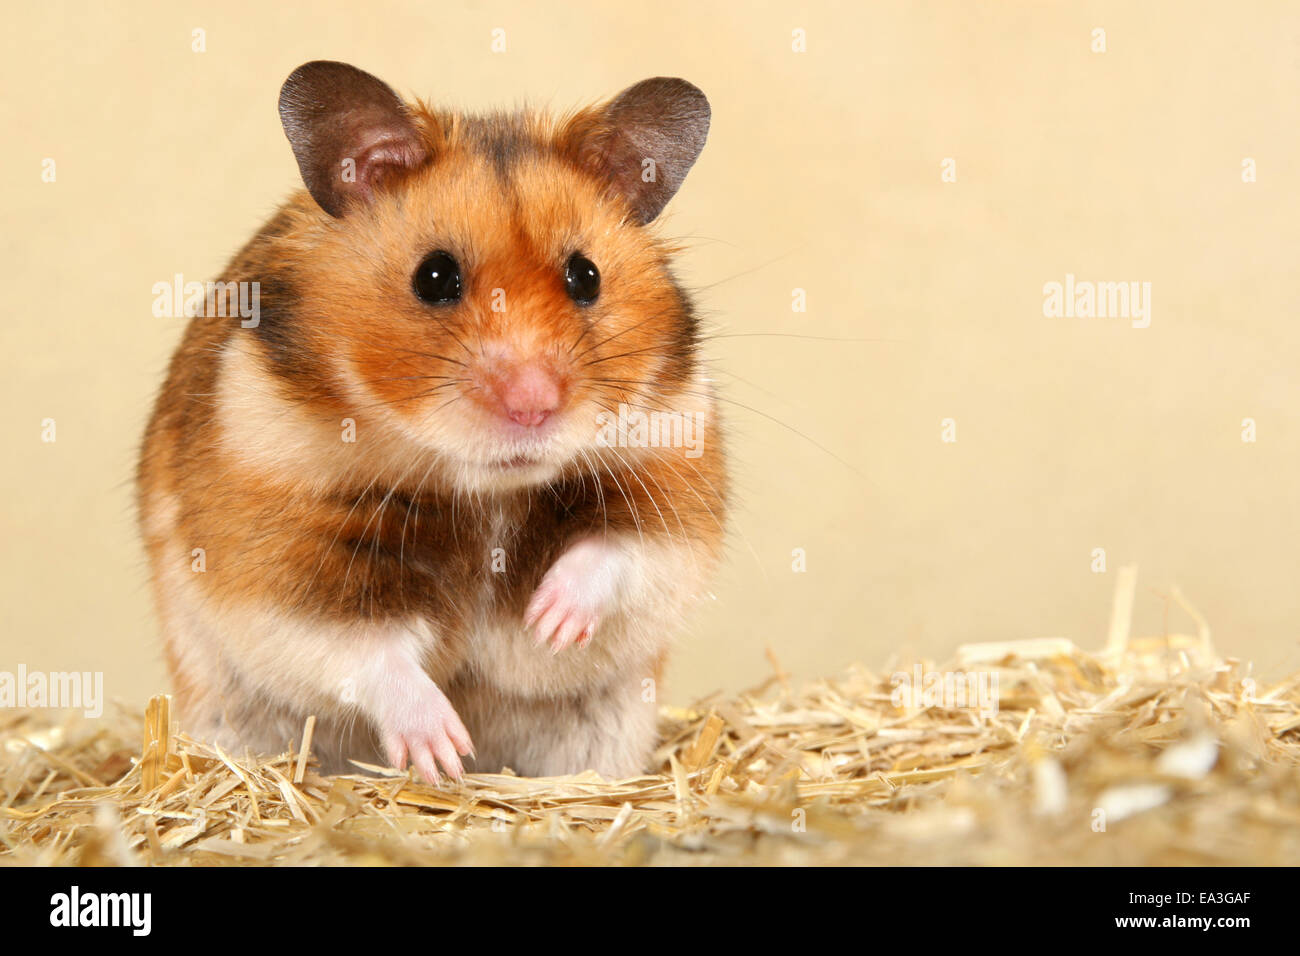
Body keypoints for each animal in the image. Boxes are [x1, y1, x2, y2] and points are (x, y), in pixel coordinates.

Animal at [136, 61, 727, 783]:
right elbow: (369, 655)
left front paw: (548, 623)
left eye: (585, 276)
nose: (534, 406)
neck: (482, 487)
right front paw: (443, 751)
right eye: (435, 276)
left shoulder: (672, 472)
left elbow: (617, 551)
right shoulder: (279, 552)